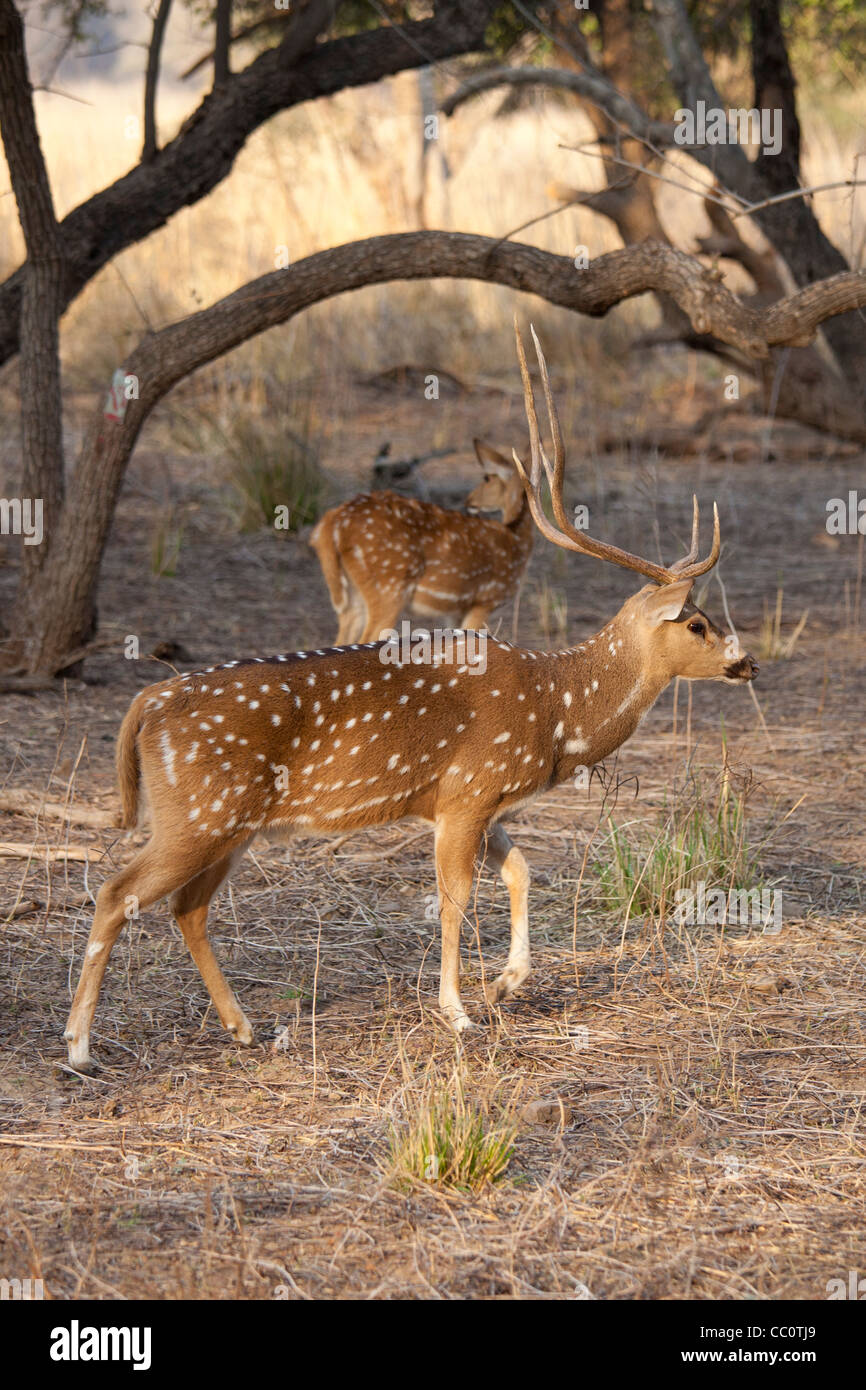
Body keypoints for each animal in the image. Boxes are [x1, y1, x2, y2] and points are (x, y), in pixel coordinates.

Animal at [309, 439, 533, 644]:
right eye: (486, 476)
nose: (469, 501)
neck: (516, 540)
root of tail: (330, 524)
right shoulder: (485, 600)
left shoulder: (455, 611)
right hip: (388, 587)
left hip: (351, 596)